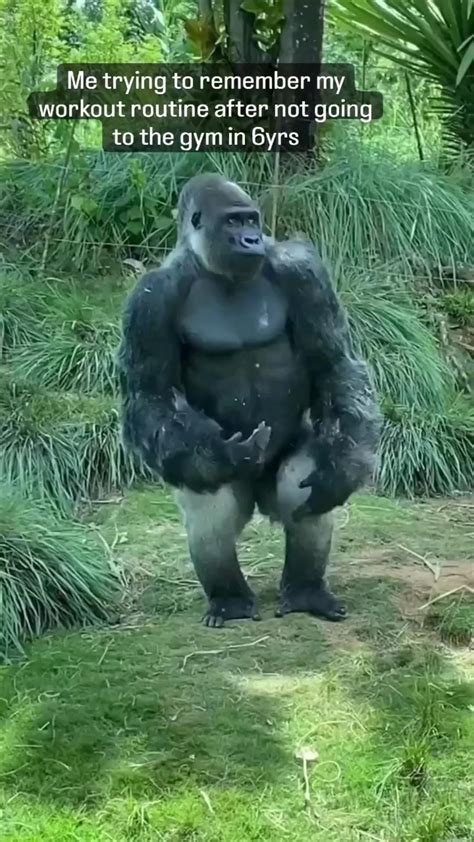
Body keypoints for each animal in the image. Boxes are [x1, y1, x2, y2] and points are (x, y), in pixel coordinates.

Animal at [117, 173, 381, 628]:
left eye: (252, 219)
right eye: (232, 222)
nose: (252, 239)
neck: (215, 269)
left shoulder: (302, 269)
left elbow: (334, 364)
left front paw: (344, 471)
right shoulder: (150, 298)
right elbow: (149, 395)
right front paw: (218, 452)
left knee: (299, 481)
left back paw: (306, 589)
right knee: (211, 503)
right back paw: (230, 598)